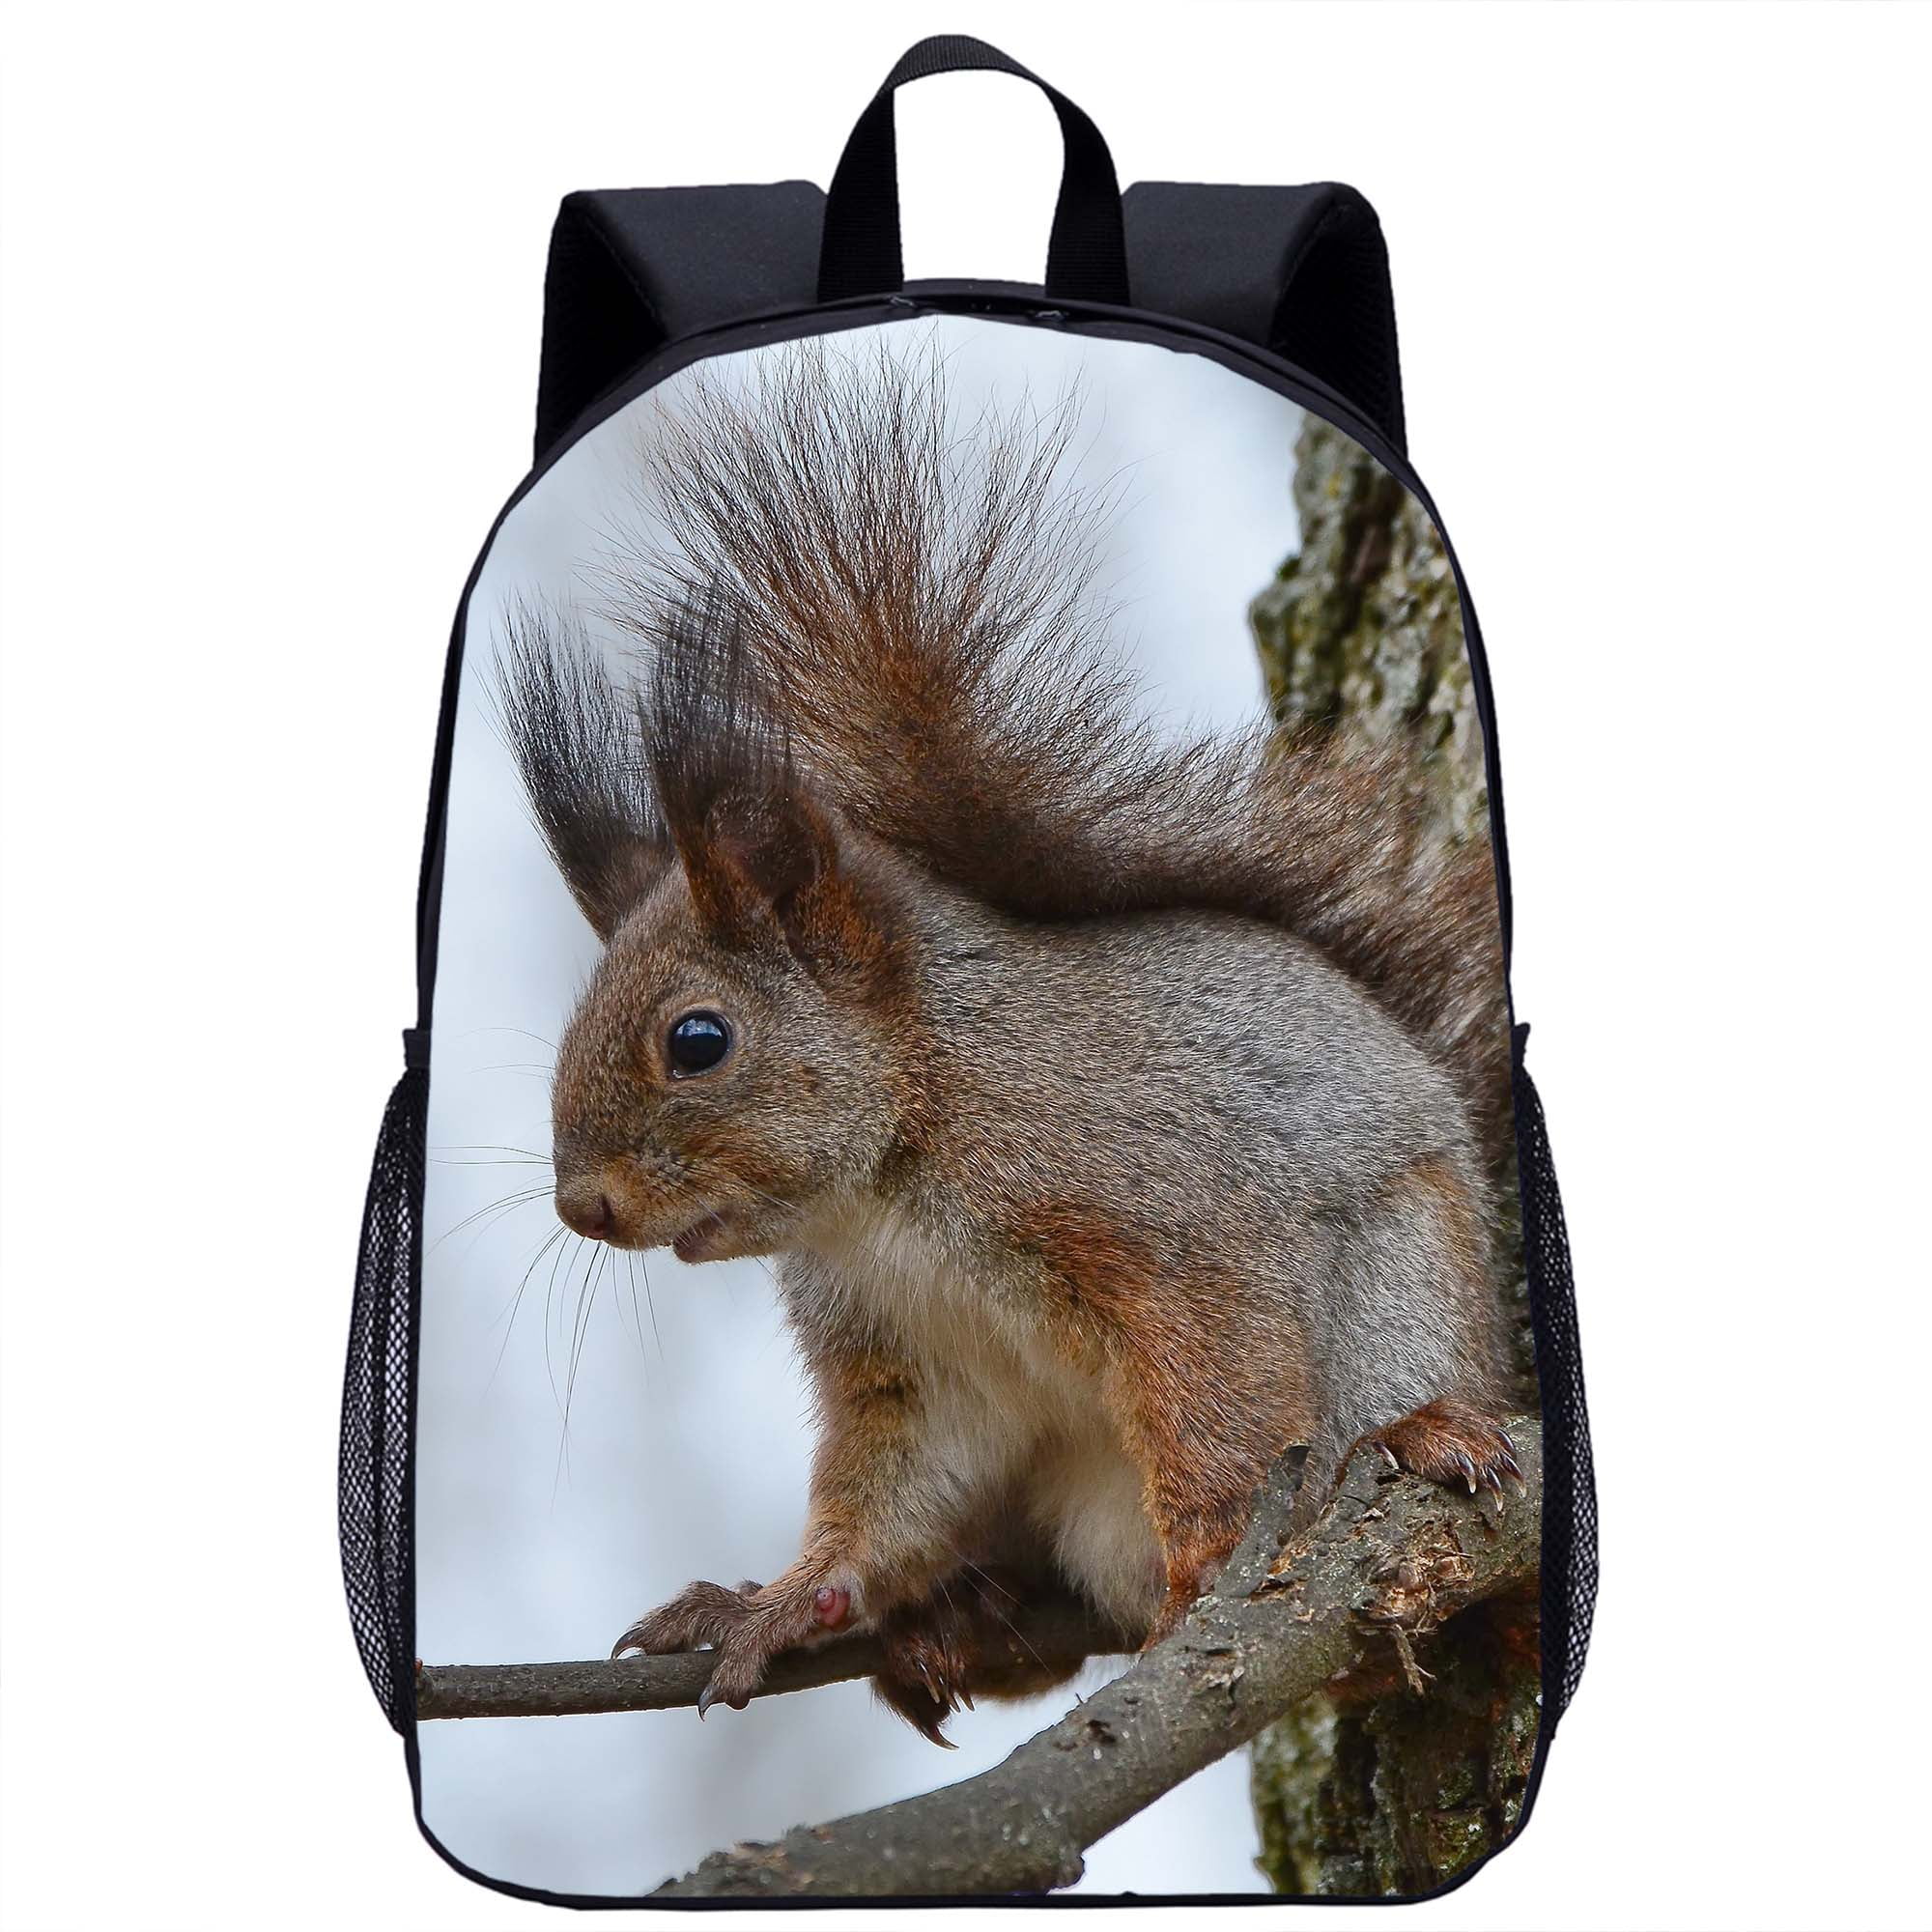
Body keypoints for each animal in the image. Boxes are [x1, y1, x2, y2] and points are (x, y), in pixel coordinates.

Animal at [495, 340, 1519, 1743]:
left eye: (696, 1039)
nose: (582, 1207)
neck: (891, 1174)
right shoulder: (902, 1358)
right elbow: (891, 1488)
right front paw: (786, 1598)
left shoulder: (1167, 1220)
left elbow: (1222, 1395)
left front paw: (1214, 1564)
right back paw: (963, 1624)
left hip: (1397, 1298)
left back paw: (1415, 1445)